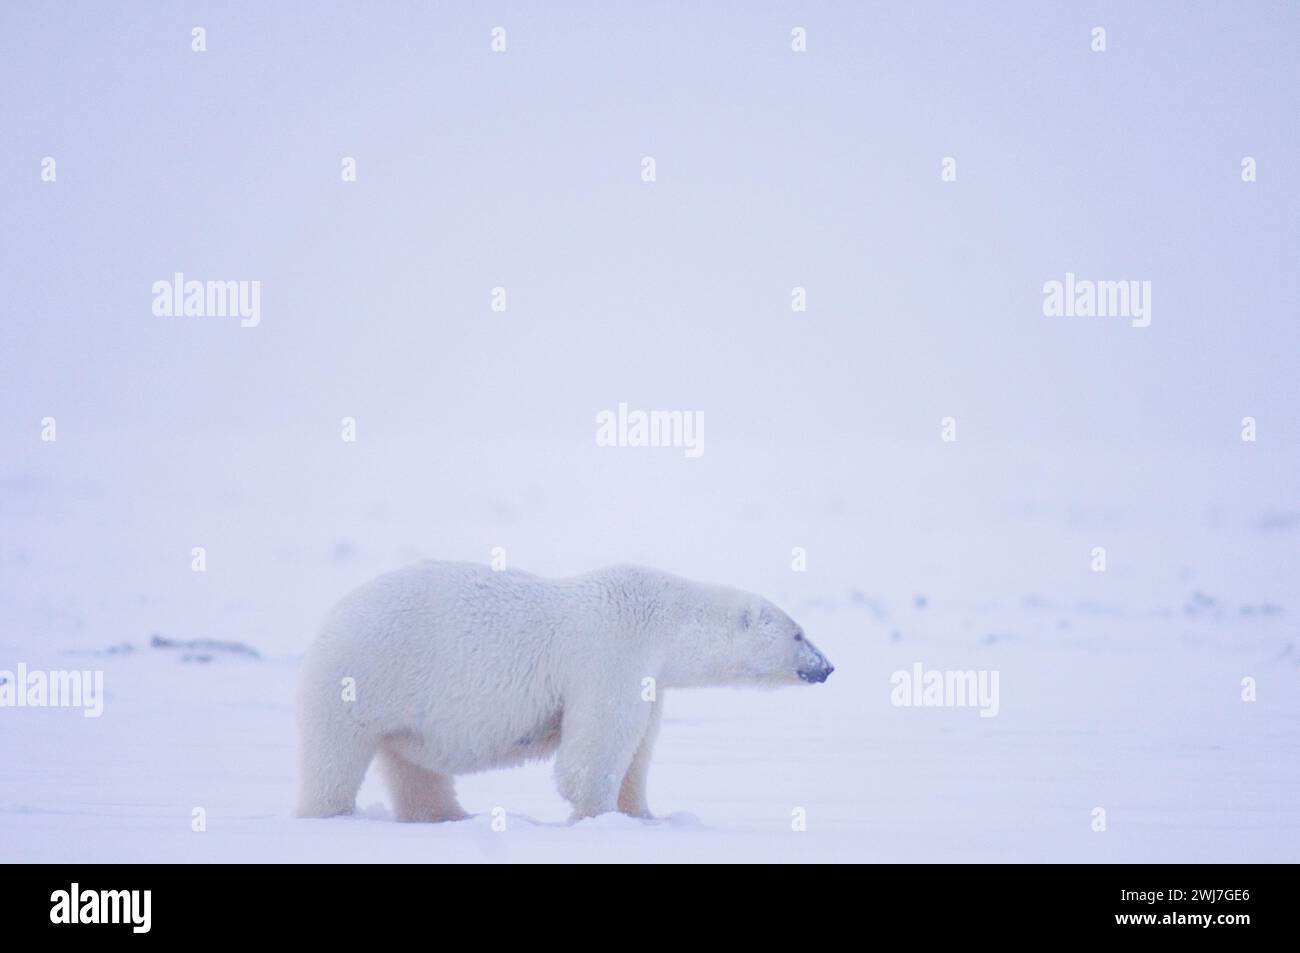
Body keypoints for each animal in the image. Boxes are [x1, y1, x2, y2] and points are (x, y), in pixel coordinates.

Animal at [296, 560, 834, 822]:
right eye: (798, 633)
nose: (828, 666)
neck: (663, 619)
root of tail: (330, 619)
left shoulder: (650, 680)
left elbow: (638, 750)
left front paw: (643, 814)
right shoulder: (613, 653)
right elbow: (593, 751)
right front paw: (598, 817)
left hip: (401, 708)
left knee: (413, 766)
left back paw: (448, 816)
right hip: (363, 677)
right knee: (334, 760)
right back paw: (331, 813)